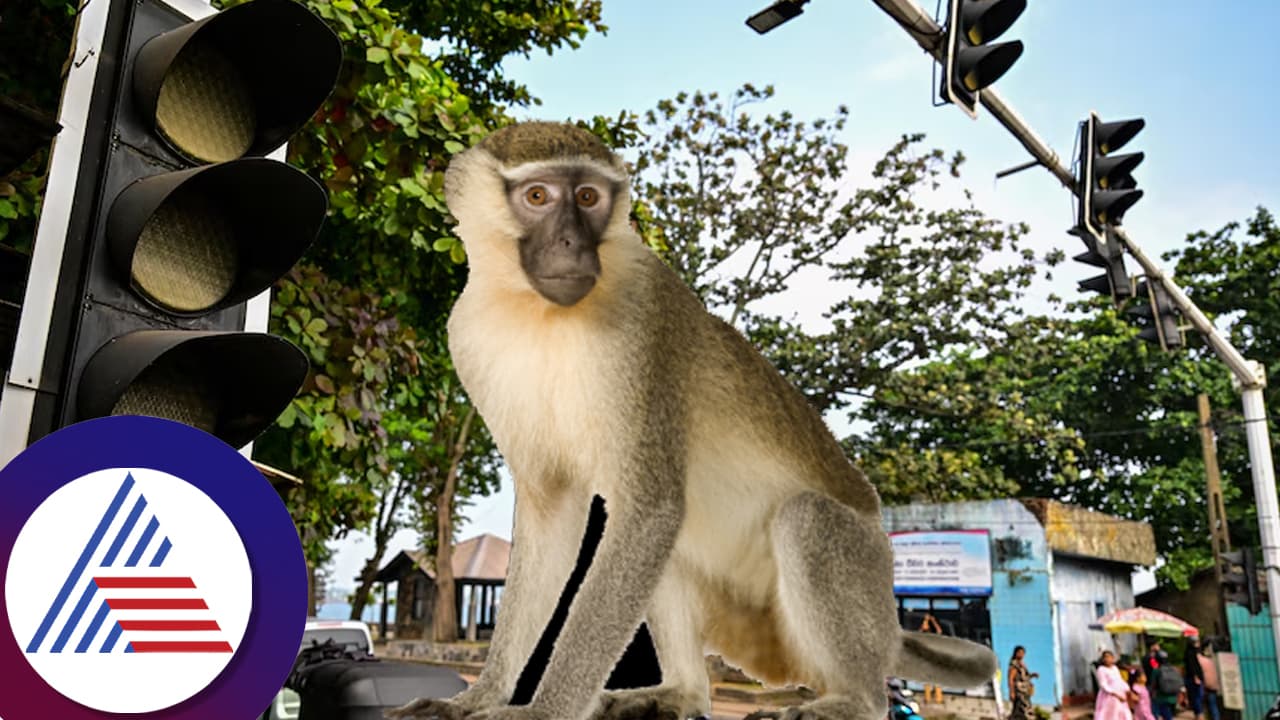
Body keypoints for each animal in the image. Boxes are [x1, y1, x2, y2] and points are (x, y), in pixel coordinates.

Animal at [387, 122, 997, 720]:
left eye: (588, 198)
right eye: (538, 196)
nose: (571, 244)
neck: (535, 310)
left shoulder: (642, 321)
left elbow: (649, 508)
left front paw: (544, 712)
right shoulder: (469, 335)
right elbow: (556, 510)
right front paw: (479, 698)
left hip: (860, 581)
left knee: (805, 520)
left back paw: (855, 701)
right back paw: (681, 692)